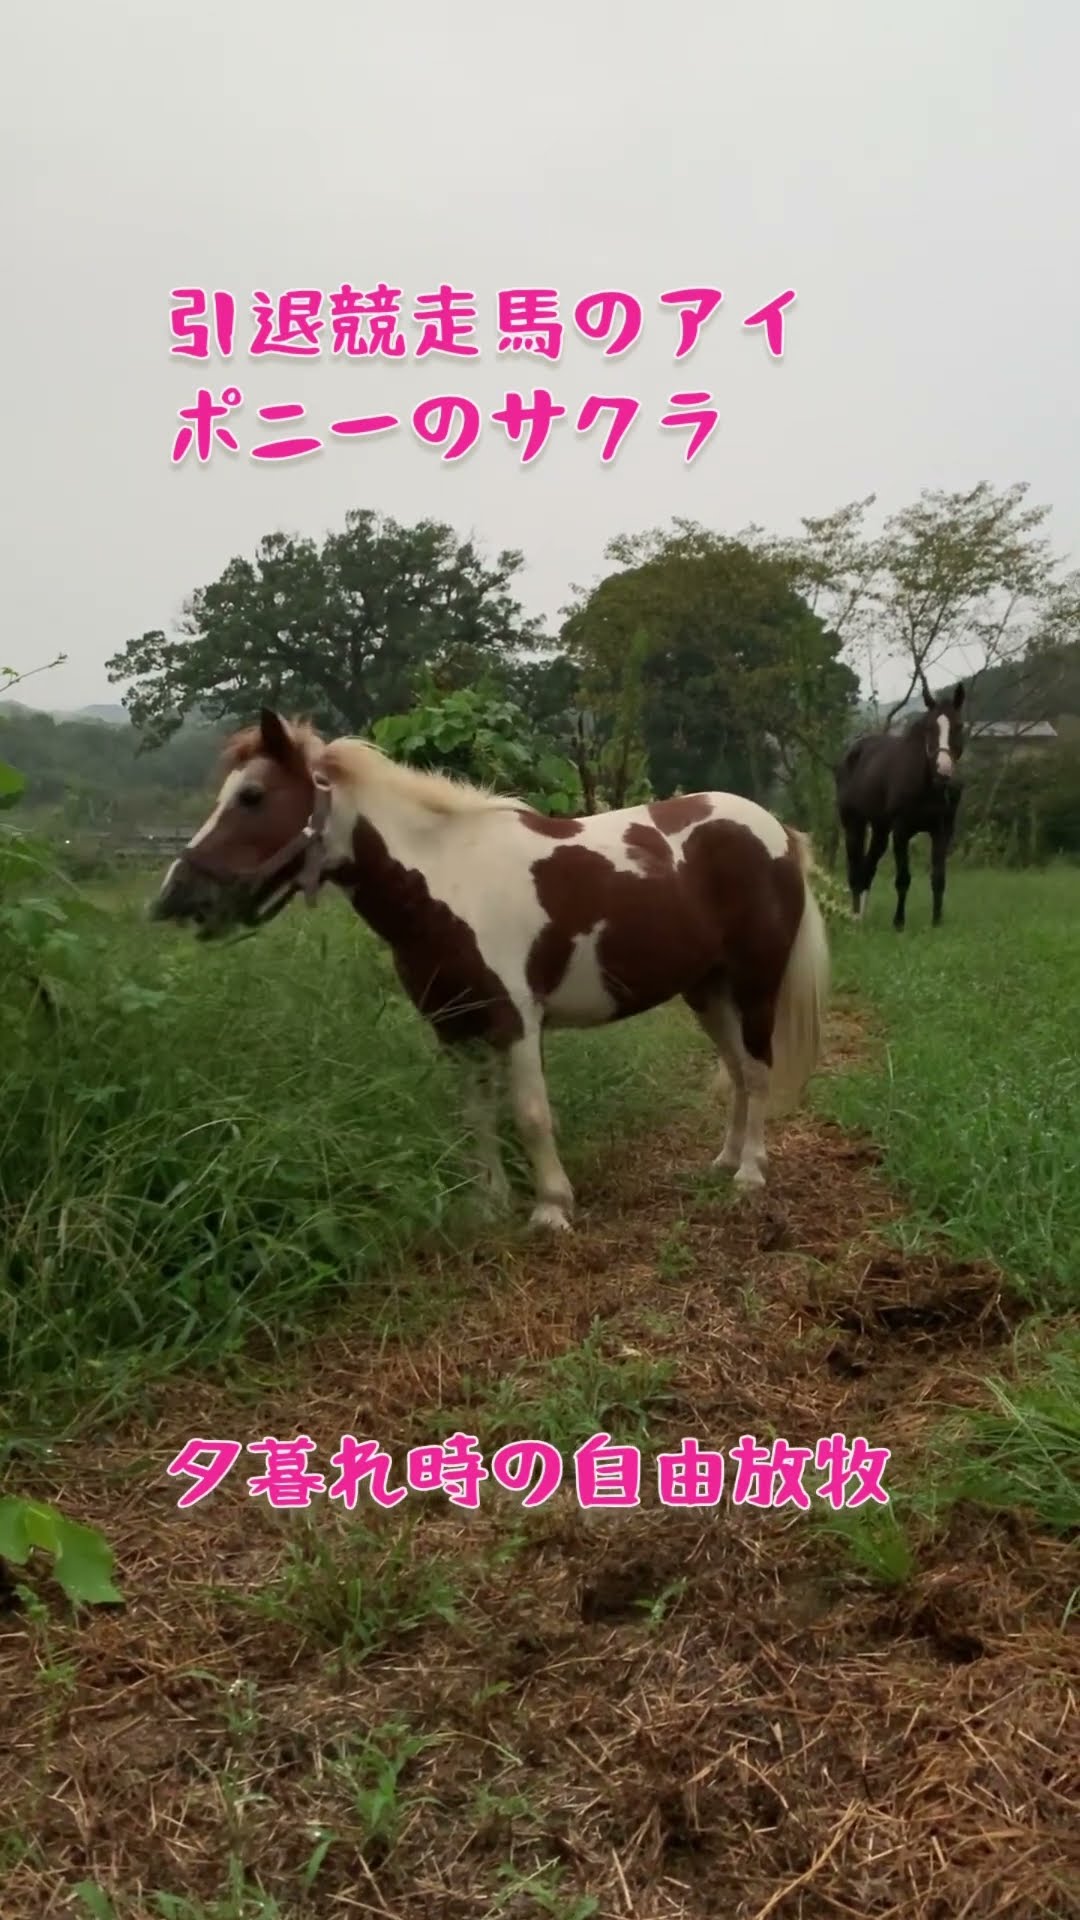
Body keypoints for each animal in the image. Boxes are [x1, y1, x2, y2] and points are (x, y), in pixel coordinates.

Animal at [148, 709, 830, 1232]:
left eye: (252, 796)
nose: (174, 897)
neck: (448, 885)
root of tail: (775, 830)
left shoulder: (516, 1023)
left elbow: (530, 1113)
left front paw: (552, 1208)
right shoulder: (455, 1029)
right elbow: (477, 1116)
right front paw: (490, 1203)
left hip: (755, 985)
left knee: (758, 1071)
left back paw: (750, 1173)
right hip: (706, 990)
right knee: (737, 1071)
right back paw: (724, 1160)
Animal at [834, 680, 965, 930]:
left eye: (958, 726)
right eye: (929, 728)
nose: (943, 770)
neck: (927, 784)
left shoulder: (942, 830)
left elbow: (938, 879)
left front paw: (937, 921)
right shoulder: (901, 830)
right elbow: (903, 879)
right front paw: (898, 922)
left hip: (880, 829)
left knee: (868, 869)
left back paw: (863, 917)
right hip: (853, 823)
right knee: (855, 871)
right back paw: (855, 918)